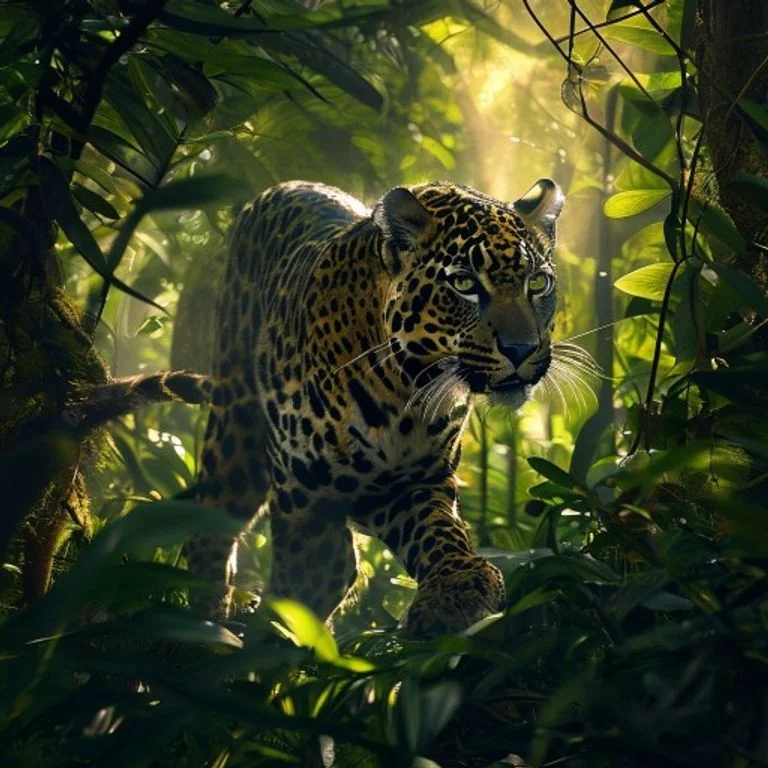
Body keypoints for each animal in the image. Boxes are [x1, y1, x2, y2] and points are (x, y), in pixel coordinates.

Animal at [84, 178, 564, 637]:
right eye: (464, 284)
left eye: (537, 283)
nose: (522, 349)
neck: (408, 391)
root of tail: (281, 187)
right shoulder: (307, 504)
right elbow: (307, 582)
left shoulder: (415, 481)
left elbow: (439, 532)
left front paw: (457, 589)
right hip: (236, 434)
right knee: (209, 531)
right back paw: (208, 623)